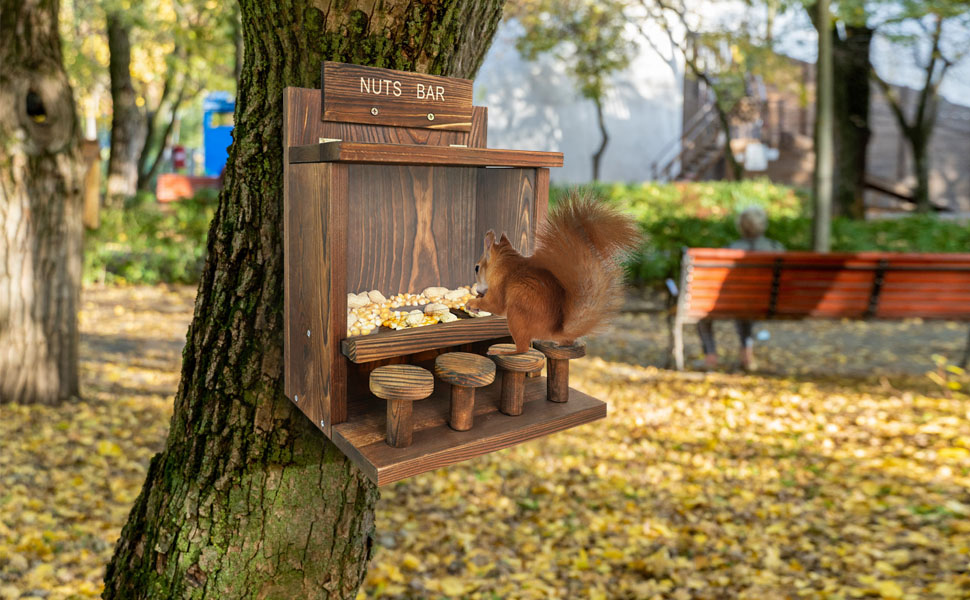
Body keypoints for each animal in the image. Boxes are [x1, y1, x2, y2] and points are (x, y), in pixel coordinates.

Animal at [466, 190, 641, 355]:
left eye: (476, 268)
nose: (477, 290)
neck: (502, 264)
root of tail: (554, 332)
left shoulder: (499, 286)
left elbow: (494, 304)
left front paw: (472, 303)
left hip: (517, 314)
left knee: (523, 348)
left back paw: (504, 351)